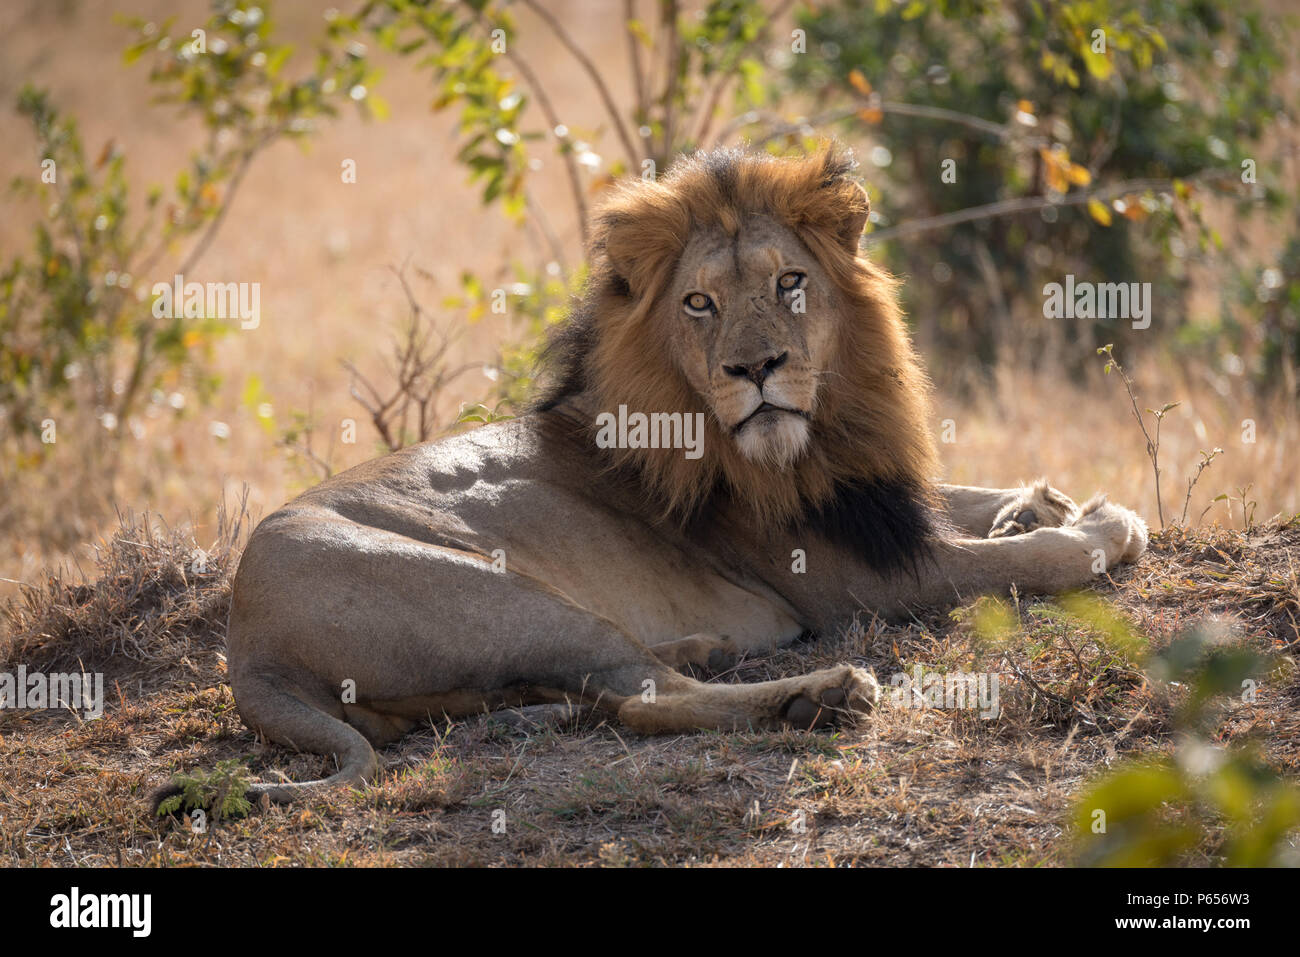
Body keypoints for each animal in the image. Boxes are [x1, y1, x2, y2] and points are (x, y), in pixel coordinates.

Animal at [198, 146, 1147, 803]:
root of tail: (249, 646)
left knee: (619, 686)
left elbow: (966, 498)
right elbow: (1027, 561)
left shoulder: (868, 493)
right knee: (644, 701)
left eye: (791, 281)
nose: (756, 367)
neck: (822, 430)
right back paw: (819, 695)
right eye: (700, 303)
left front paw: (1038, 500)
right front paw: (1098, 524)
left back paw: (704, 647)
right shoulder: (857, 579)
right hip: (505, 595)